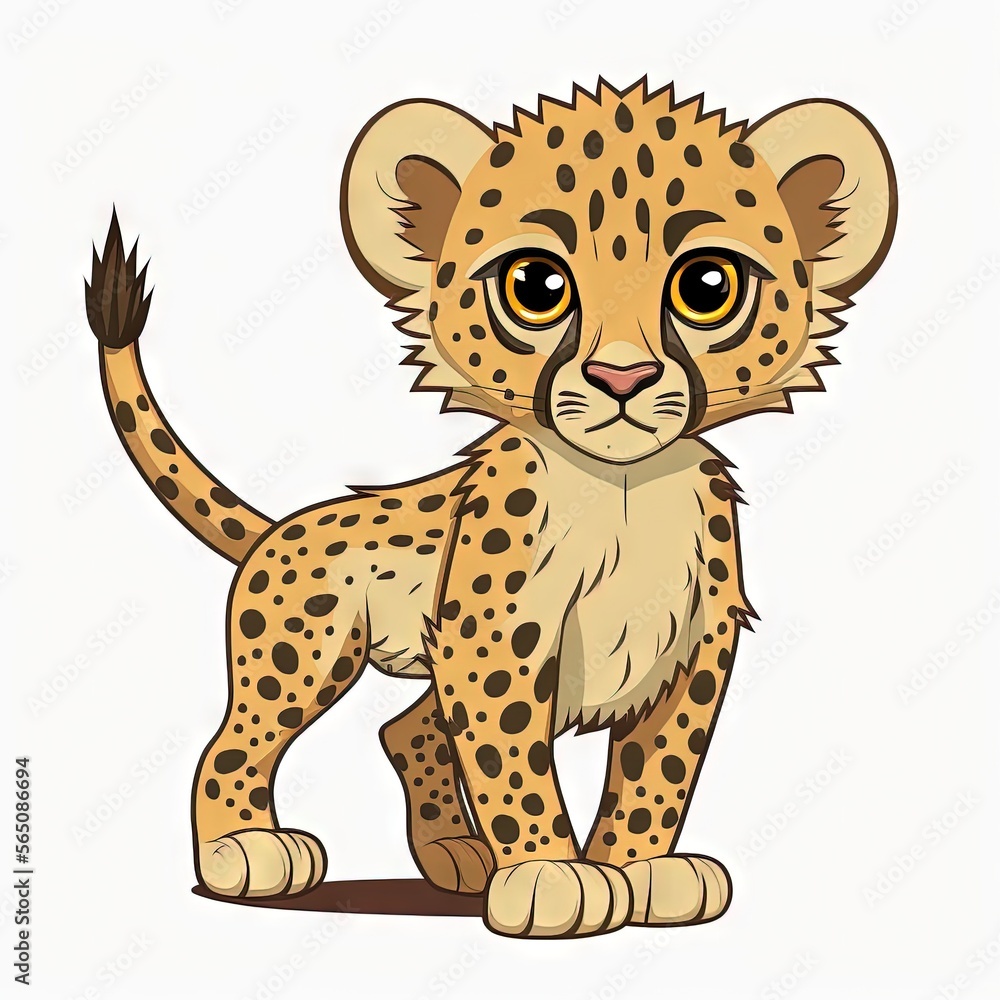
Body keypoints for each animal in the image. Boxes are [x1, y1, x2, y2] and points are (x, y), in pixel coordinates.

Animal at [85, 77, 896, 939]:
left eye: (708, 287)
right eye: (535, 287)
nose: (622, 379)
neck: (625, 489)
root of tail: (285, 526)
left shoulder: (692, 645)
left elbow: (661, 767)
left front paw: (640, 870)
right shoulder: (497, 642)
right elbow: (513, 757)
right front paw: (551, 874)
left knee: (405, 729)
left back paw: (454, 856)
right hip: (298, 657)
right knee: (234, 744)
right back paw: (247, 849)